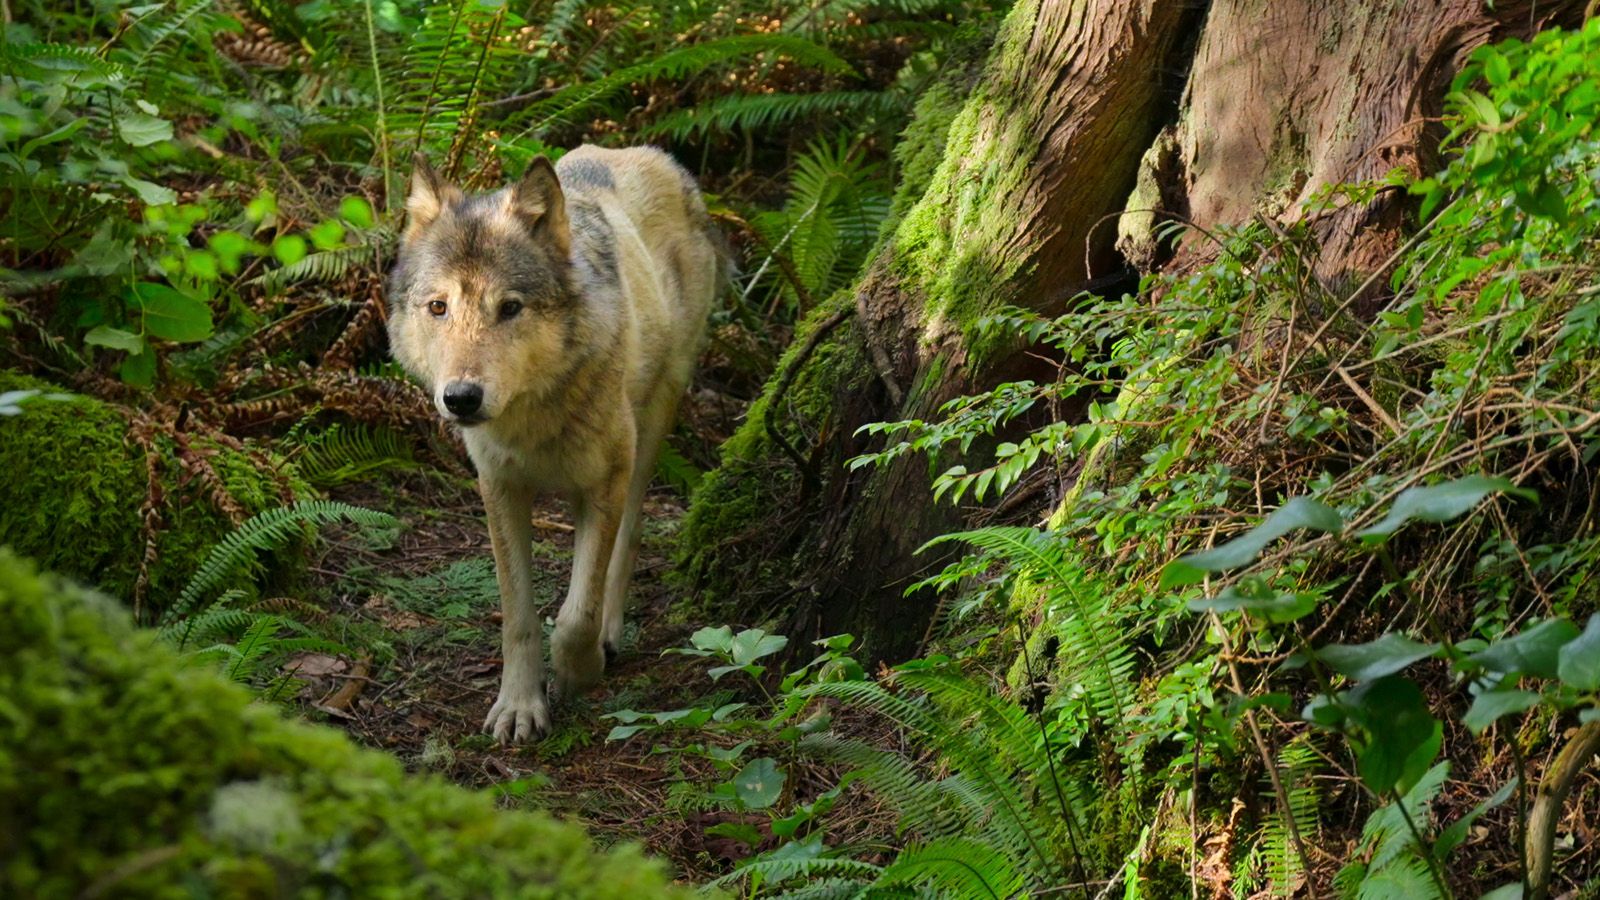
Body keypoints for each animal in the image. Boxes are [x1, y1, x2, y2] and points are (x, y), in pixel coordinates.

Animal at [387, 146, 721, 743]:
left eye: (510, 308)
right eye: (438, 307)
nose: (461, 399)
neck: (532, 419)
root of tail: (653, 154)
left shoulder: (605, 481)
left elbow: (574, 615)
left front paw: (579, 671)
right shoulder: (499, 488)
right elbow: (518, 615)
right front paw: (520, 706)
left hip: (652, 423)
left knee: (628, 537)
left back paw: (610, 634)